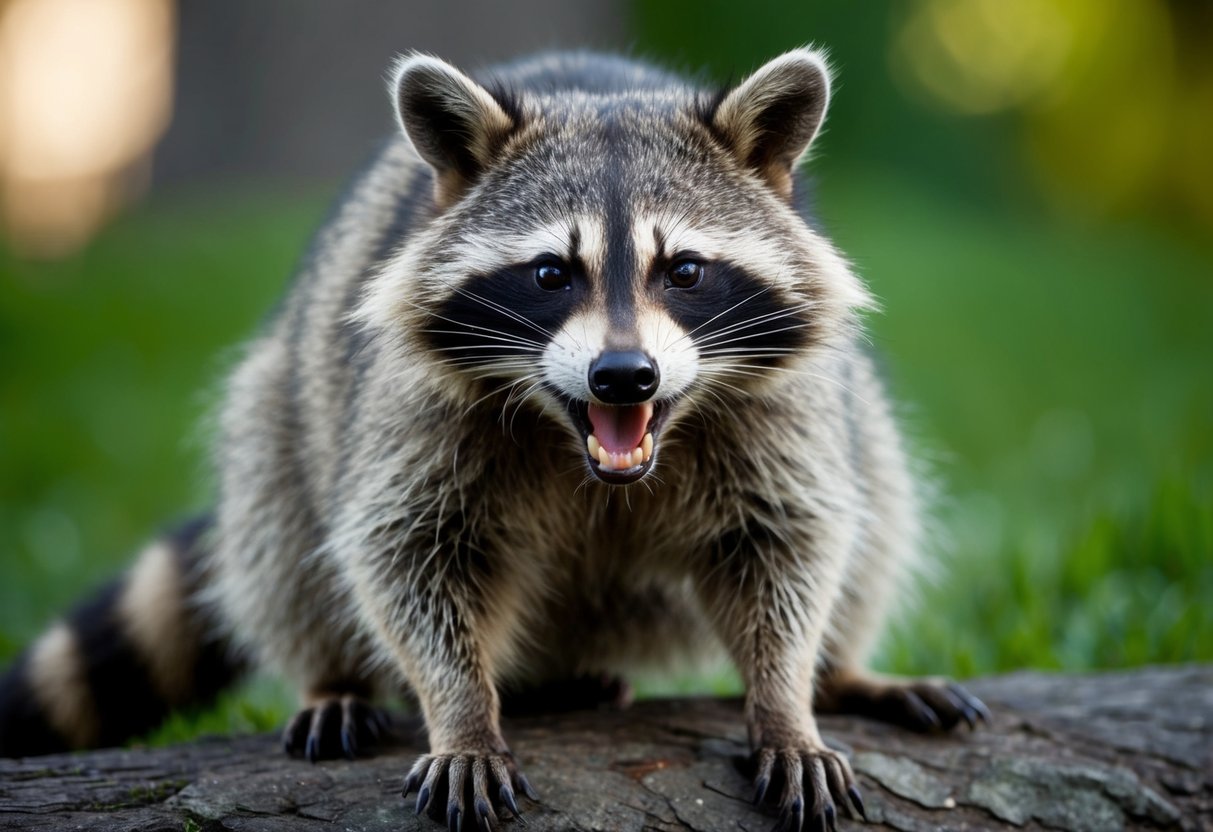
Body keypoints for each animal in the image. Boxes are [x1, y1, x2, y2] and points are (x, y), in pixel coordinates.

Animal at [0, 48, 988, 830]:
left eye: (685, 270)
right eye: (551, 274)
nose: (623, 376)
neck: (594, 454)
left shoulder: (780, 405)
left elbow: (791, 542)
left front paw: (786, 697)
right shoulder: (411, 409)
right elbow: (405, 554)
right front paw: (461, 709)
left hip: (843, 402)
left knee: (877, 485)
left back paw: (841, 669)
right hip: (287, 392)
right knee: (276, 508)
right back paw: (331, 676)